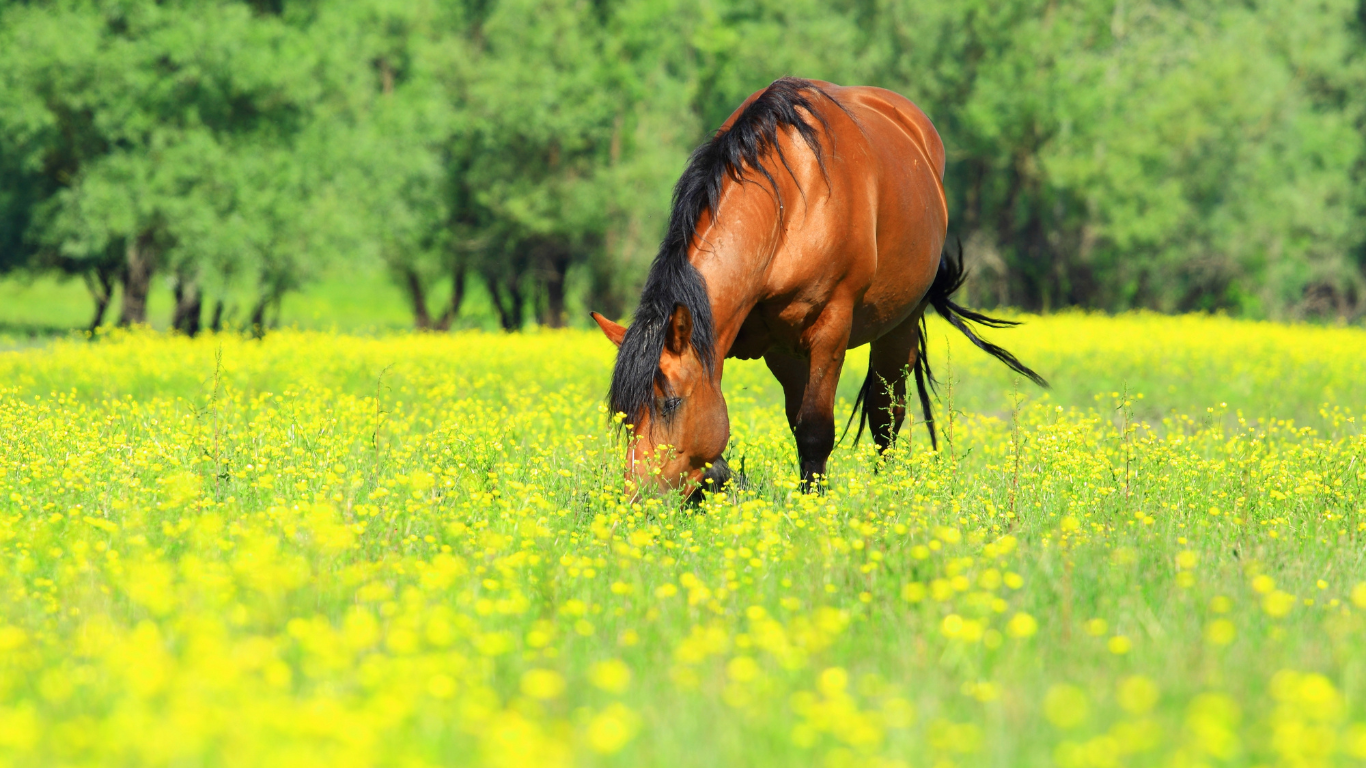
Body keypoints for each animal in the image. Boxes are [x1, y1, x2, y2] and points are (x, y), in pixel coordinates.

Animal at [592, 77, 1046, 497]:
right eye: (625, 415)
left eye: (670, 402)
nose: (638, 497)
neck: (789, 207)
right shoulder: (777, 347)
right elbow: (779, 431)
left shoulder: (829, 330)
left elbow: (815, 430)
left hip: (899, 326)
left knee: (887, 416)